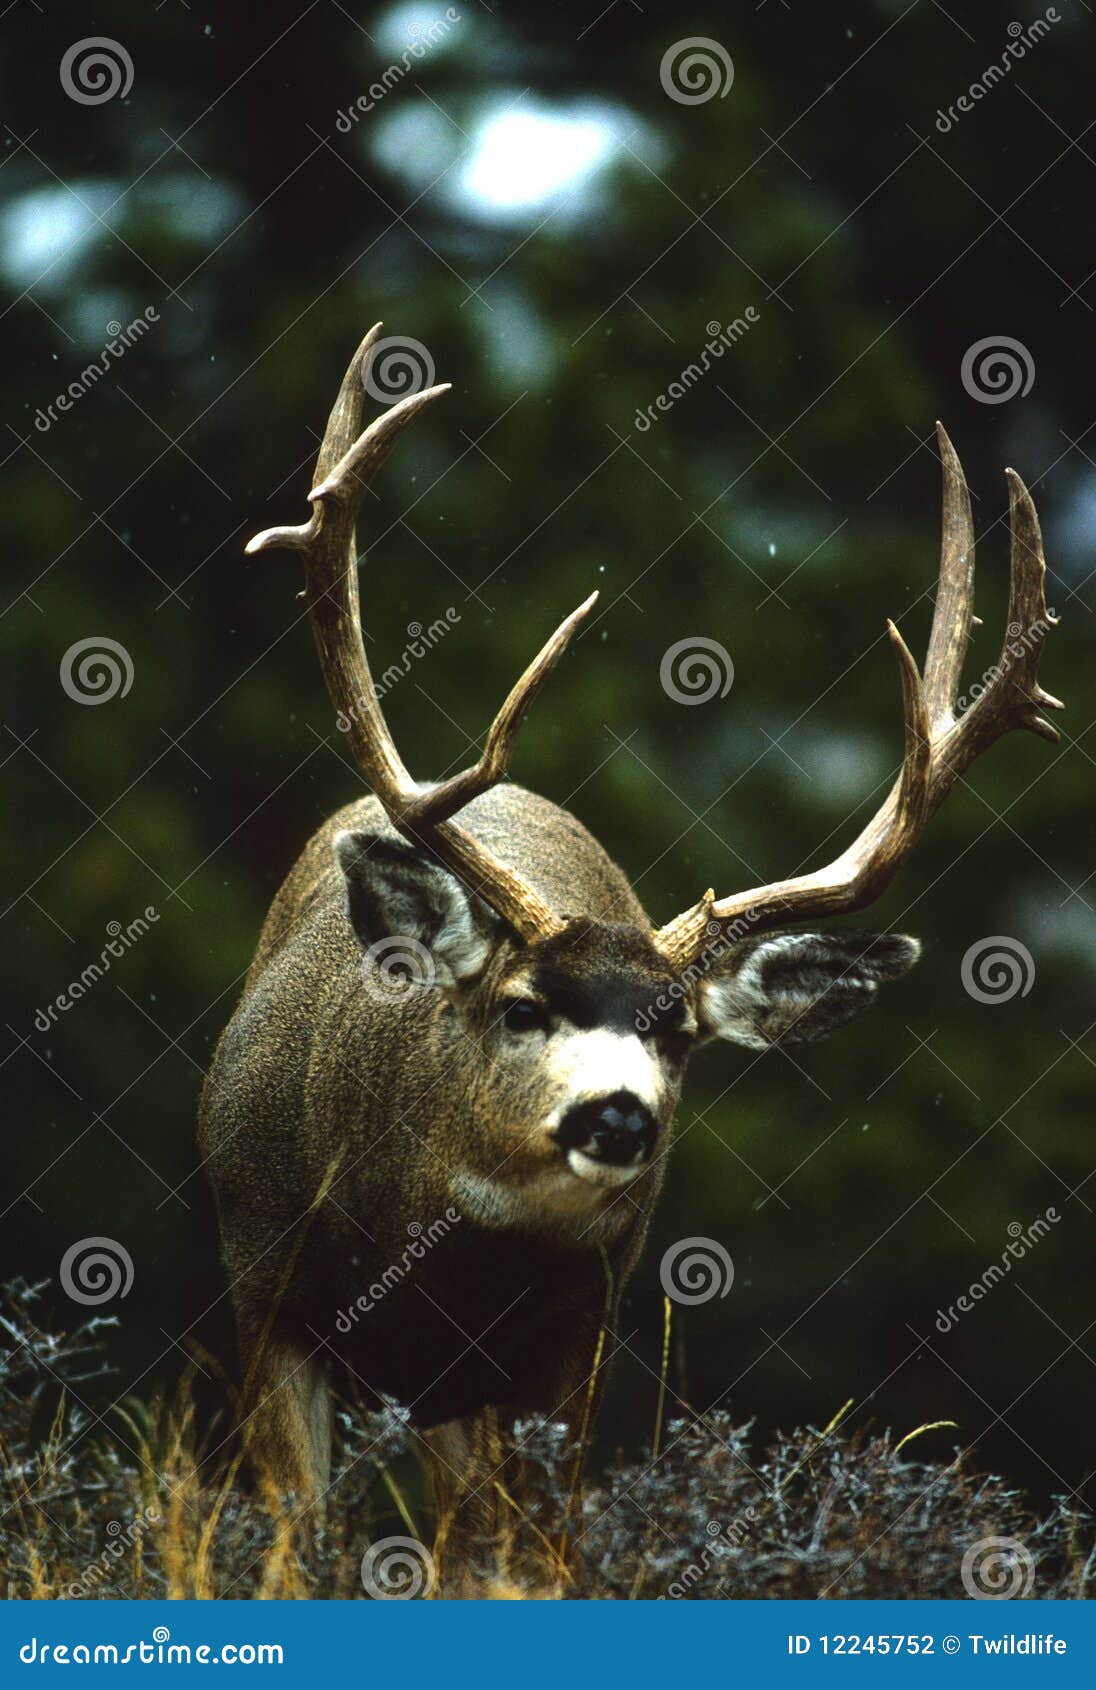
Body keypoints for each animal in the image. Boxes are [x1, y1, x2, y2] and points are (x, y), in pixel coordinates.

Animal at [198, 324, 1062, 1596]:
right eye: (519, 1005)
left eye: (678, 1030)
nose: (616, 1114)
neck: (407, 1228)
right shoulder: (263, 1290)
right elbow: (296, 1546)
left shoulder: (574, 1333)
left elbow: (529, 1565)